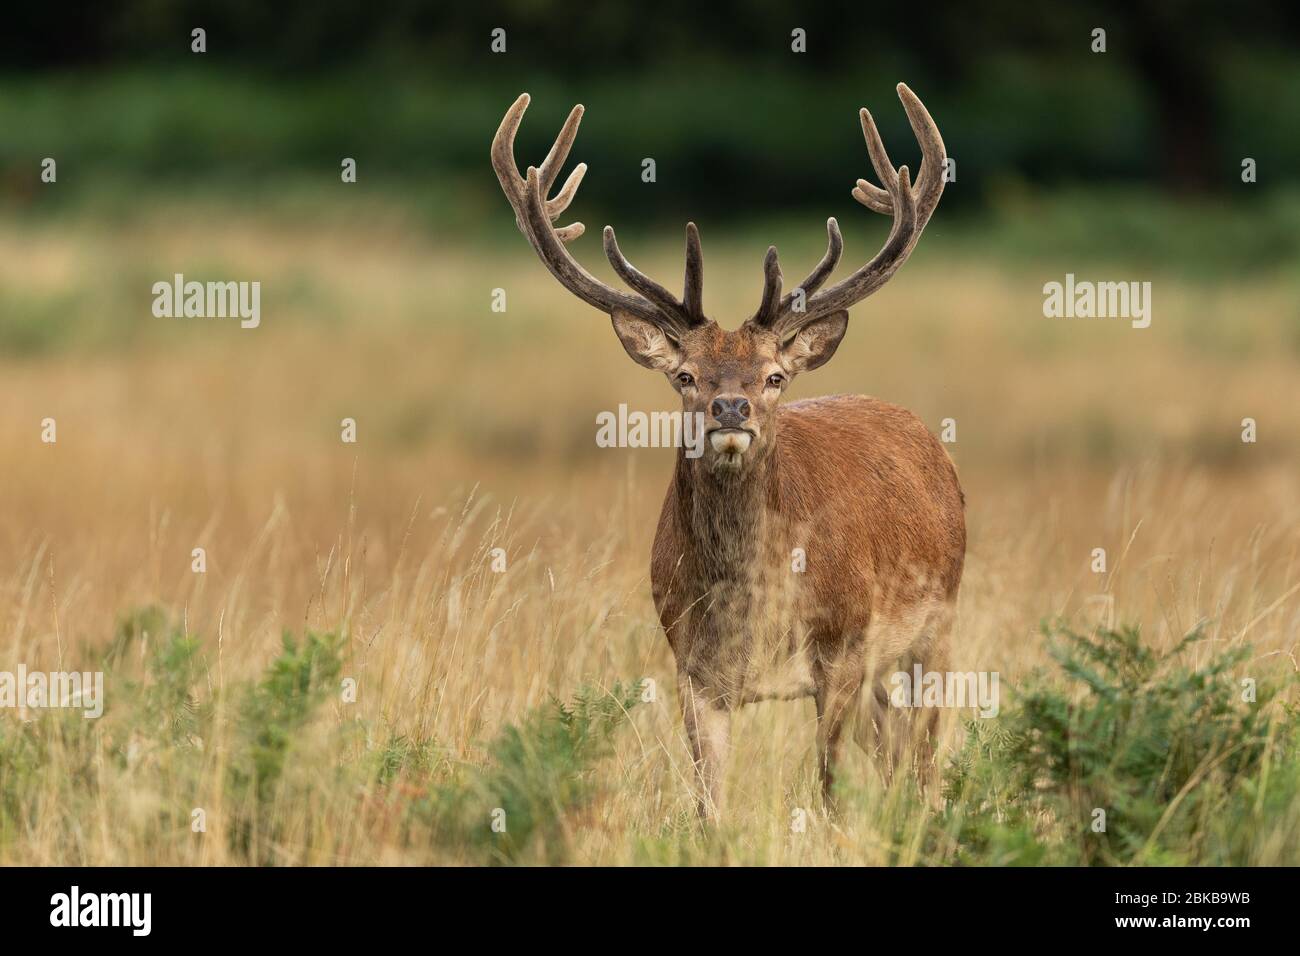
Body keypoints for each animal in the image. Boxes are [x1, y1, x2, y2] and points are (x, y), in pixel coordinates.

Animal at [491, 84, 965, 820]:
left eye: (773, 376)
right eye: (686, 376)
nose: (732, 409)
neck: (756, 612)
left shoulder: (841, 648)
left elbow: (829, 790)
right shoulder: (691, 667)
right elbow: (707, 804)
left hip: (935, 624)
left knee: (922, 753)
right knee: (892, 743)